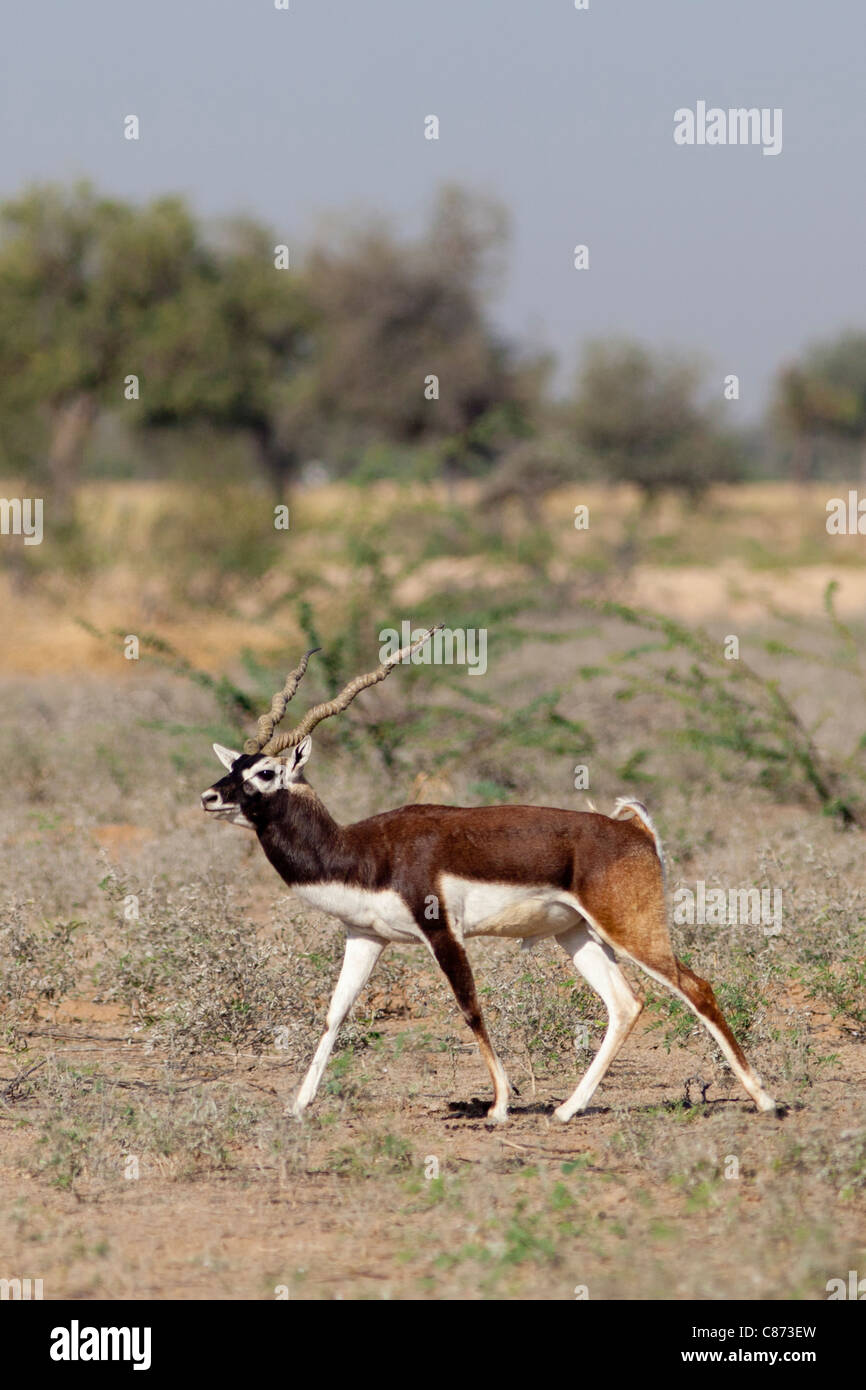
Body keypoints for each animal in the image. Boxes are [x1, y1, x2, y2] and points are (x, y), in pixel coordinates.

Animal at [201, 627, 779, 1123]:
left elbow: (471, 1008)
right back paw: (566, 1110)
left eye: (266, 772)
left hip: (630, 928)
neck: (361, 851)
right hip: (576, 933)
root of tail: (633, 829)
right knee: (626, 1004)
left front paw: (498, 1106)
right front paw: (298, 1105)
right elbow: (334, 1014)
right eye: (234, 767)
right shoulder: (364, 936)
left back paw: (767, 1101)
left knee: (696, 988)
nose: (209, 797)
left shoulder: (442, 931)